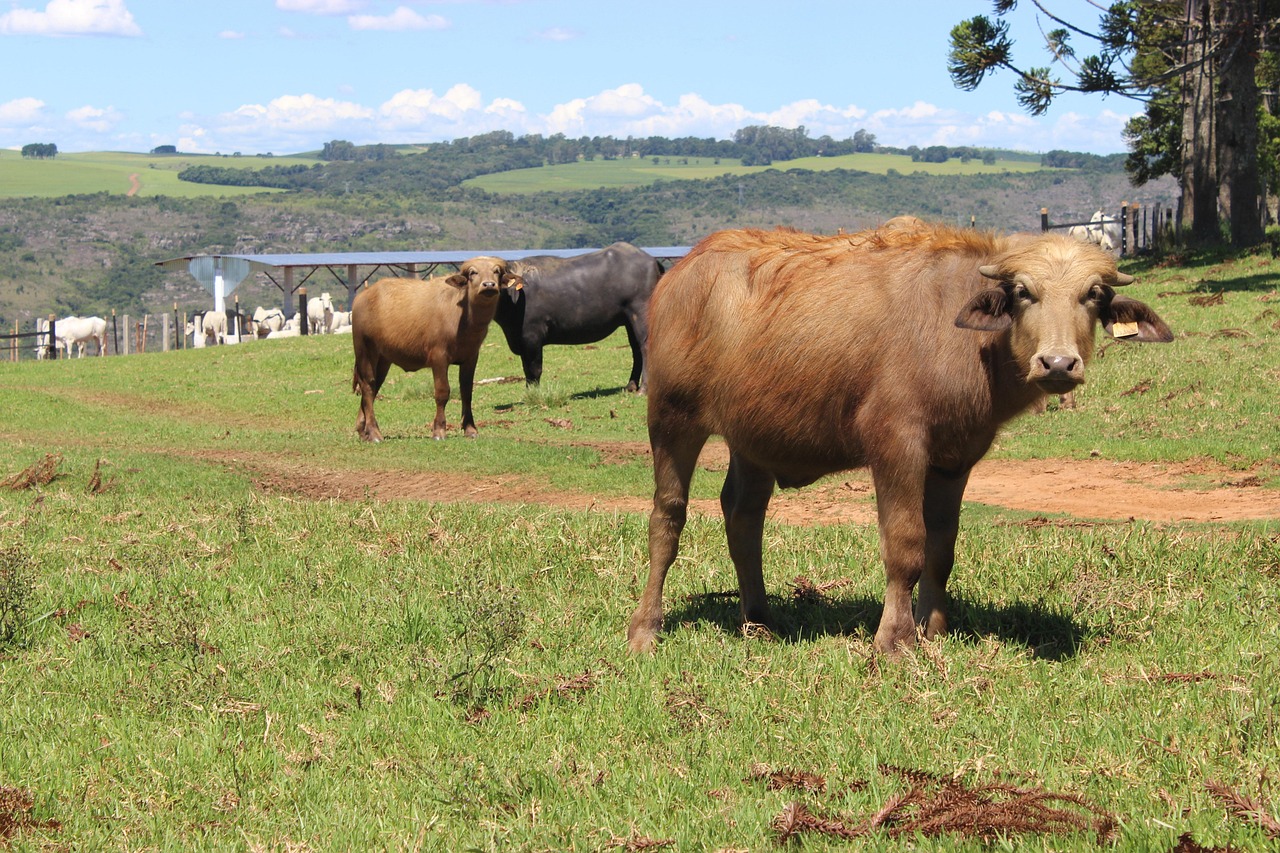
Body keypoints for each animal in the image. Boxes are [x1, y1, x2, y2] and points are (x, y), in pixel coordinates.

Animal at [351, 257, 523, 442]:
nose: (489, 285)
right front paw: (439, 430)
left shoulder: (471, 357)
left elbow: (466, 391)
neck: (464, 319)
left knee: (374, 386)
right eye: (472, 273)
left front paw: (470, 429)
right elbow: (442, 392)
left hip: (383, 358)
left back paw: (363, 430)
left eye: (496, 271)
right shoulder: (439, 357)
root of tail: (362, 297)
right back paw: (374, 433)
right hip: (364, 350)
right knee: (368, 386)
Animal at [496, 242, 662, 392]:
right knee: (636, 349)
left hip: (640, 312)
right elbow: (526, 369)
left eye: (496, 273)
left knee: (645, 346)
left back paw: (644, 389)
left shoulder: (532, 337)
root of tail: (651, 260)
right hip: (629, 320)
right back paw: (631, 386)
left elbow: (534, 369)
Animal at [626, 223, 1172, 658]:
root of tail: (684, 268)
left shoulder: (956, 459)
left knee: (743, 515)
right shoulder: (896, 443)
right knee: (667, 515)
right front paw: (896, 639)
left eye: (1094, 294)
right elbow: (905, 543)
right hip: (672, 418)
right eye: (1022, 291)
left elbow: (941, 547)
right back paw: (645, 628)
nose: (1058, 363)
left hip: (753, 437)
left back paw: (758, 619)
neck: (964, 339)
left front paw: (935, 628)